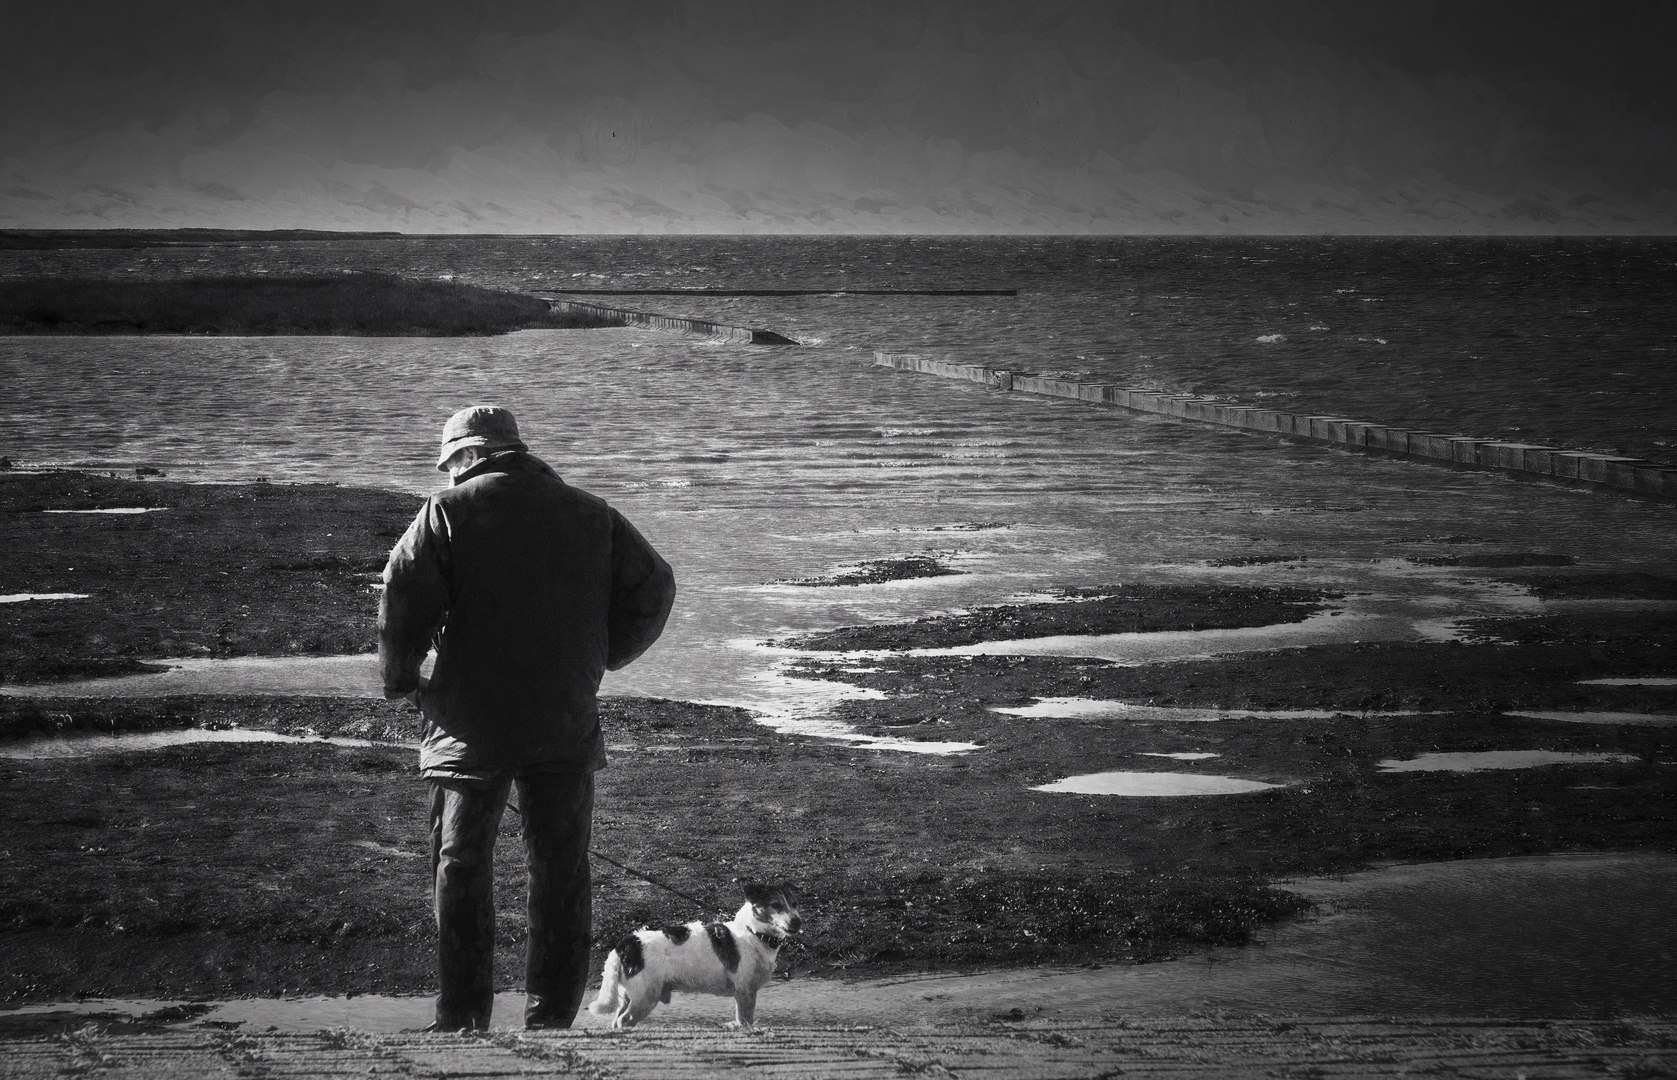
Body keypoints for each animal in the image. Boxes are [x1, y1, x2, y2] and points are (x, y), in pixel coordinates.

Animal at [586, 878, 801, 1026]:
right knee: (624, 1020)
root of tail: (628, 943)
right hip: (645, 997)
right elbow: (745, 1021)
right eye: (775, 905)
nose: (797, 922)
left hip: (629, 996)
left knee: (617, 1020)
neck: (752, 931)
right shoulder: (745, 991)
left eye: (794, 904)